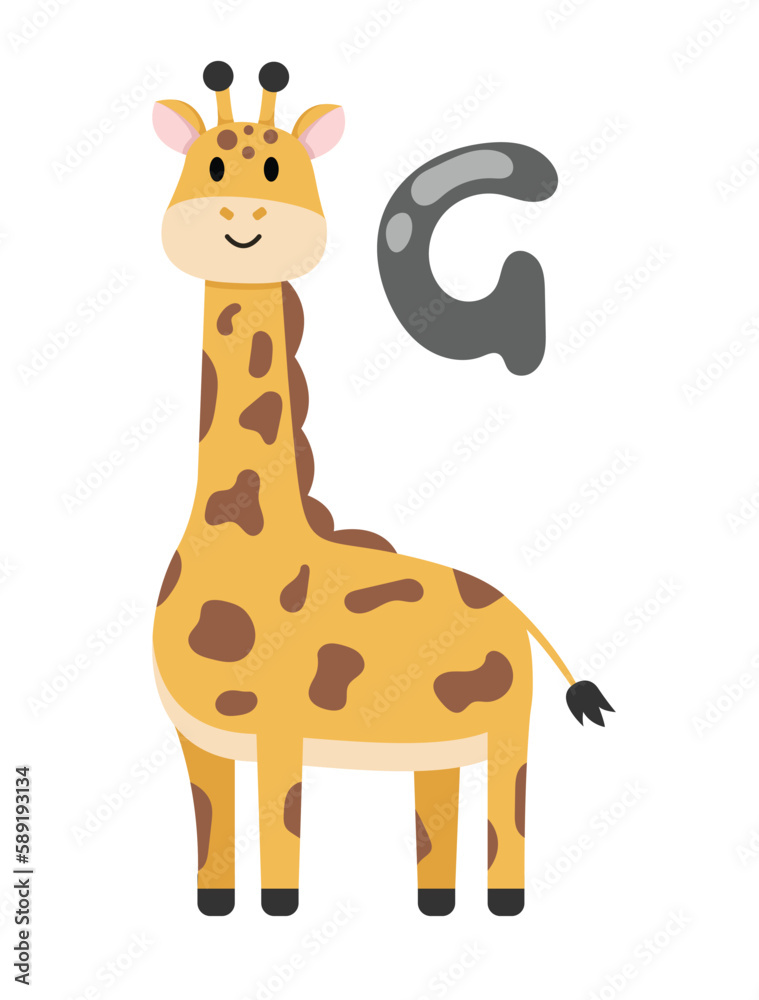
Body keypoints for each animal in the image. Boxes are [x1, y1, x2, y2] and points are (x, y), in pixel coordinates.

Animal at [151, 60, 614, 920]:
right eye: (209, 167)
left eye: (277, 169)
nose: (241, 218)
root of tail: (519, 615)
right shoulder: (197, 740)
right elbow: (209, 840)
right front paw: (215, 913)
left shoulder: (281, 734)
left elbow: (282, 839)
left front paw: (279, 914)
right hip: (437, 743)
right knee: (437, 820)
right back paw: (435, 908)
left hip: (509, 730)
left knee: (509, 817)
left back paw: (504, 905)